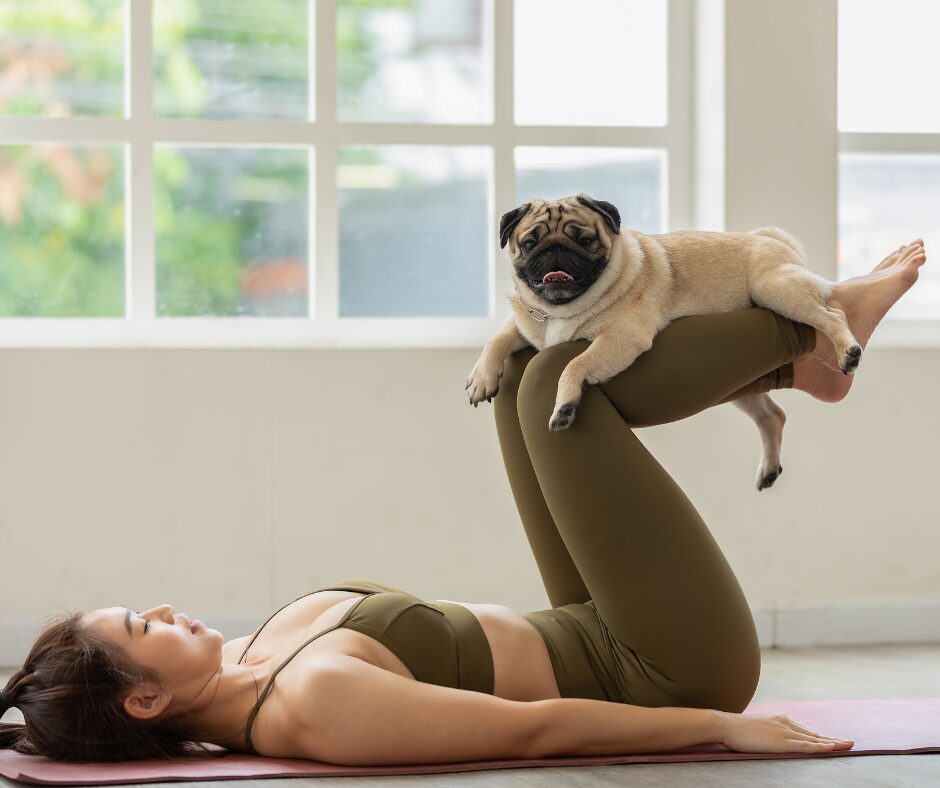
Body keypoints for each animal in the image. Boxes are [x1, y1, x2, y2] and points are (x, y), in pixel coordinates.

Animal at [462, 194, 860, 490]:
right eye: (530, 243)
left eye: (585, 240)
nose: (556, 250)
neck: (561, 309)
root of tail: (773, 240)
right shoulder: (529, 323)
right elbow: (498, 339)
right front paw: (482, 377)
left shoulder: (622, 337)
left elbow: (574, 363)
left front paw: (565, 405)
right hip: (740, 379)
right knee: (771, 415)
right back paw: (769, 467)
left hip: (775, 290)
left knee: (832, 317)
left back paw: (848, 353)